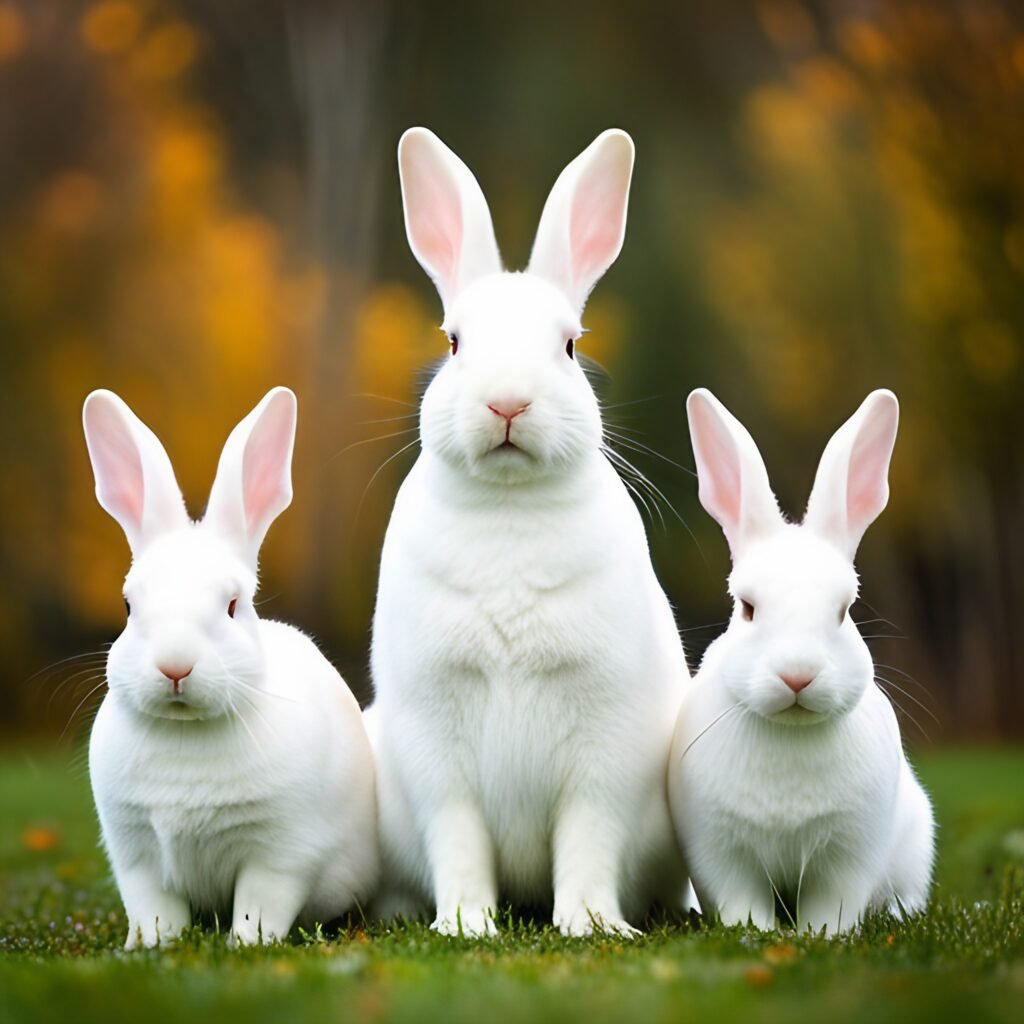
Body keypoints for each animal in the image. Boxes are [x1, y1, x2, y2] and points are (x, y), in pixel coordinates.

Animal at [83, 387, 379, 948]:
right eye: (129, 606)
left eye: (233, 605)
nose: (175, 667)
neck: (184, 734)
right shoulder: (136, 855)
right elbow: (154, 910)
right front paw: (152, 946)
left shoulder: (279, 854)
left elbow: (258, 907)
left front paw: (248, 945)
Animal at [368, 127, 689, 938]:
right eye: (454, 342)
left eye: (570, 346)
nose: (507, 403)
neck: (510, 510)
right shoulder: (437, 747)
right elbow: (457, 840)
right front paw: (465, 925)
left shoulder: (603, 748)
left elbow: (587, 840)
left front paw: (592, 925)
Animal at [669, 388, 935, 935]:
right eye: (747, 607)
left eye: (845, 609)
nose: (798, 675)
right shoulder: (720, 855)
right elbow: (741, 904)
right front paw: (756, 935)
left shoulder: (849, 857)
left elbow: (832, 906)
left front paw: (825, 937)